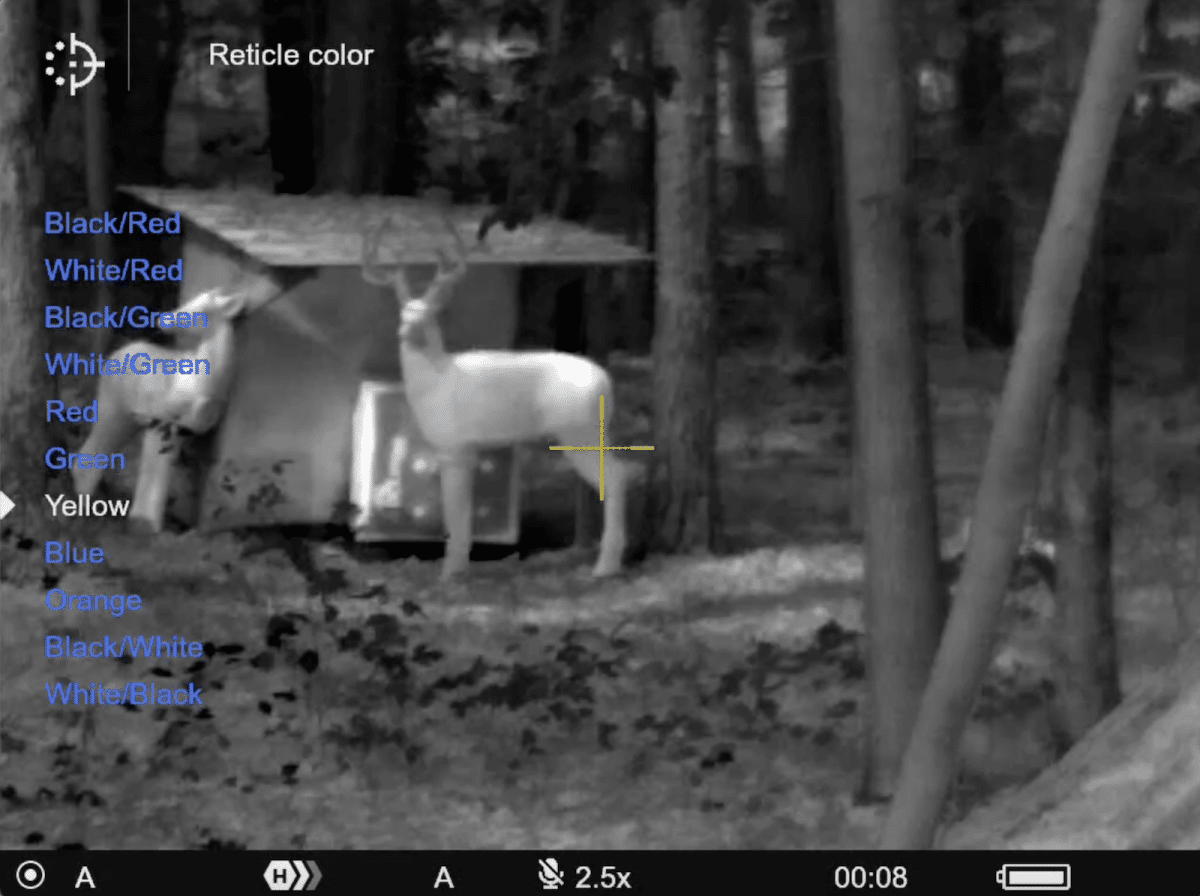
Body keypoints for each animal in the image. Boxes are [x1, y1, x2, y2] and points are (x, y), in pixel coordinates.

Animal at [70, 288, 247, 496]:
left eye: (202, 311)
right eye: (189, 300)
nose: (162, 320)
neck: (205, 383)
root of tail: (115, 353)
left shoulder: (192, 428)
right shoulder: (162, 413)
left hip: (125, 419)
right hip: (111, 404)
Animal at [360, 215, 629, 581]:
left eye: (429, 315)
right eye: (403, 314)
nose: (408, 333)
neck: (437, 381)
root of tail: (606, 383)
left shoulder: (454, 444)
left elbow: (456, 509)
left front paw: (450, 573)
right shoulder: (465, 447)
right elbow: (463, 508)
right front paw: (458, 566)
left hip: (578, 430)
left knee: (616, 477)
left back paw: (605, 567)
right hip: (593, 431)